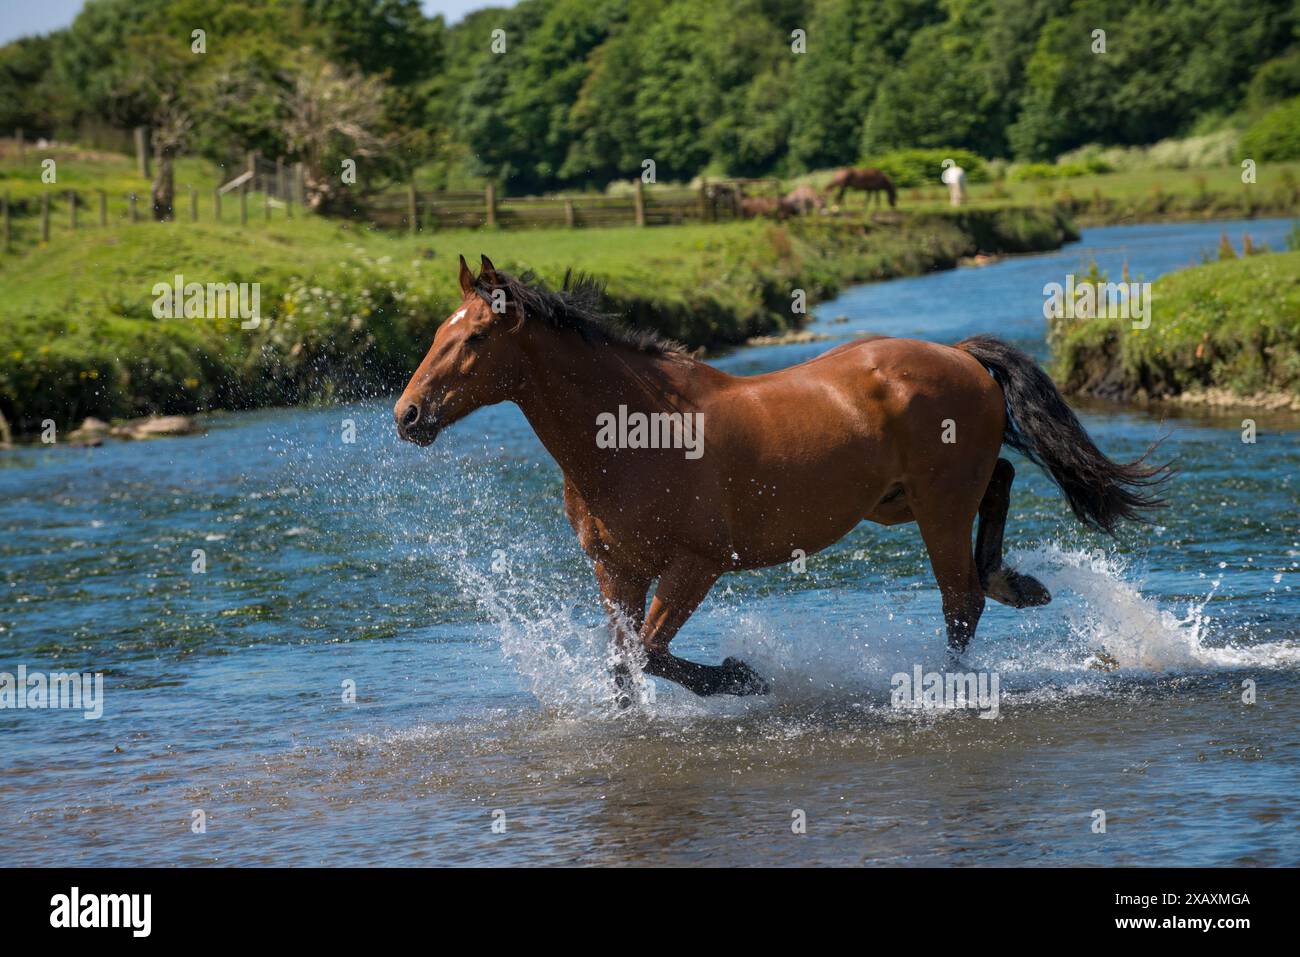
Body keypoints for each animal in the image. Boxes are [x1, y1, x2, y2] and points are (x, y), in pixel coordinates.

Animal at [396, 255, 1168, 700]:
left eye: (474, 338)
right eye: (437, 331)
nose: (408, 415)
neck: (632, 433)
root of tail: (959, 355)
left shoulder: (696, 564)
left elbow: (651, 652)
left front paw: (741, 676)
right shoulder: (616, 569)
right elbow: (624, 665)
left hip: (937, 508)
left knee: (961, 602)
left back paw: (954, 674)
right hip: (901, 501)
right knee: (1000, 487)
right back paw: (1019, 583)